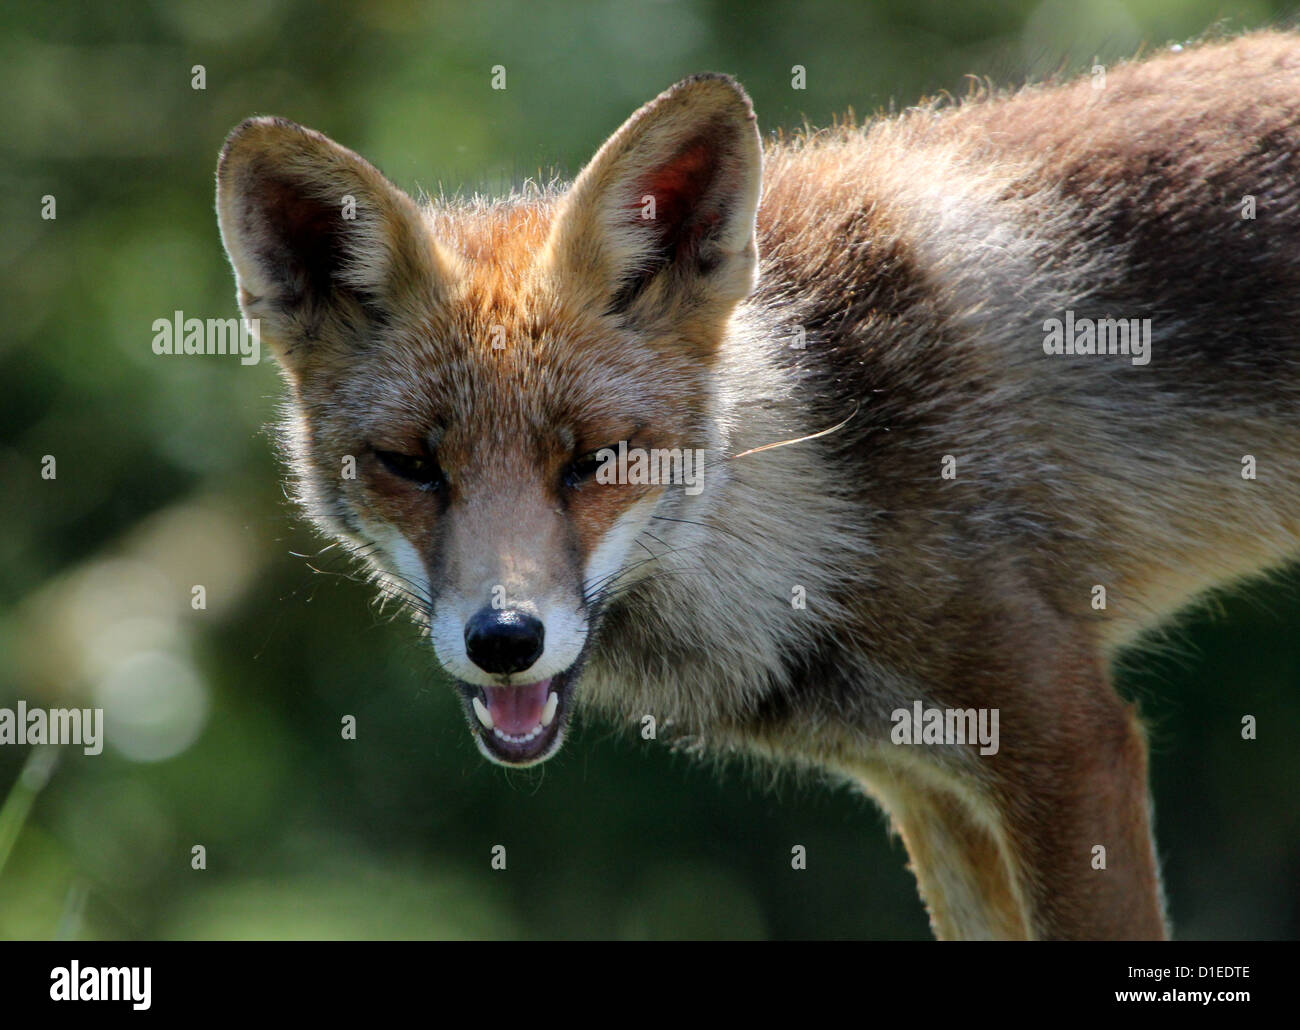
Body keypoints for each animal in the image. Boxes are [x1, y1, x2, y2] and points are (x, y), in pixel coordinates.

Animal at [215, 31, 1300, 940]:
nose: (504, 640)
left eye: (597, 458)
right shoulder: (930, 788)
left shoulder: (1065, 738)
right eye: (409, 464)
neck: (821, 465)